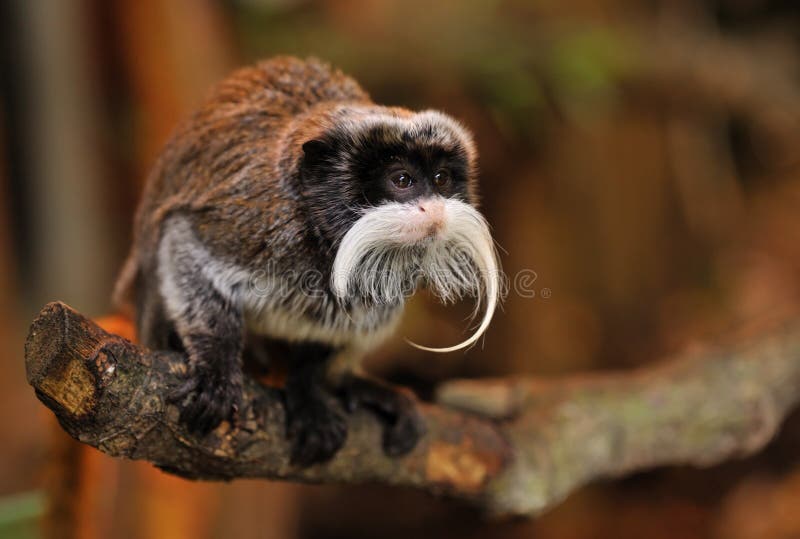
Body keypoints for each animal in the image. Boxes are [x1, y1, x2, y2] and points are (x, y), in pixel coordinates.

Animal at [114, 57, 502, 466]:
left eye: (441, 179)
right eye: (402, 180)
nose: (437, 211)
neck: (318, 237)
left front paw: (307, 390)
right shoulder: (257, 219)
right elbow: (184, 241)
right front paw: (217, 367)